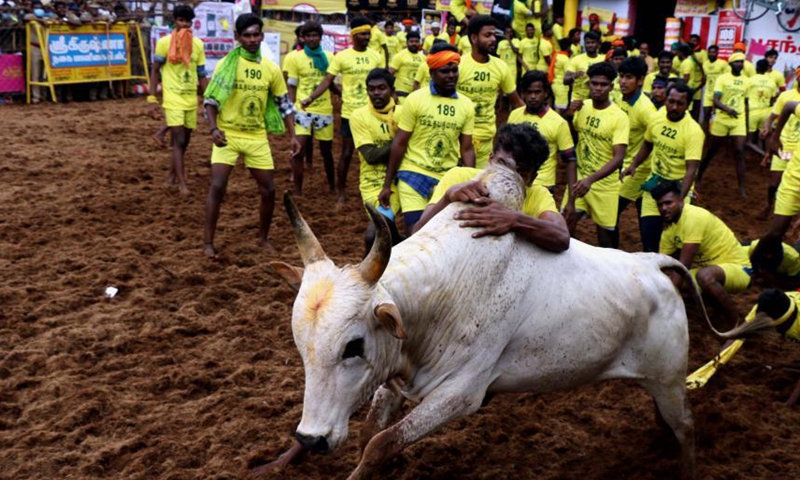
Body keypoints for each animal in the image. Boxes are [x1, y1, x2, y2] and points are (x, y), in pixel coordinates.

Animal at [267, 164, 710, 480]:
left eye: (353, 346)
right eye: (300, 346)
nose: (310, 439)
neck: (434, 304)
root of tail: (651, 263)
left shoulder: (460, 395)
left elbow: (380, 443)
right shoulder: (393, 381)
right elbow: (368, 435)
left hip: (670, 378)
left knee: (687, 426)